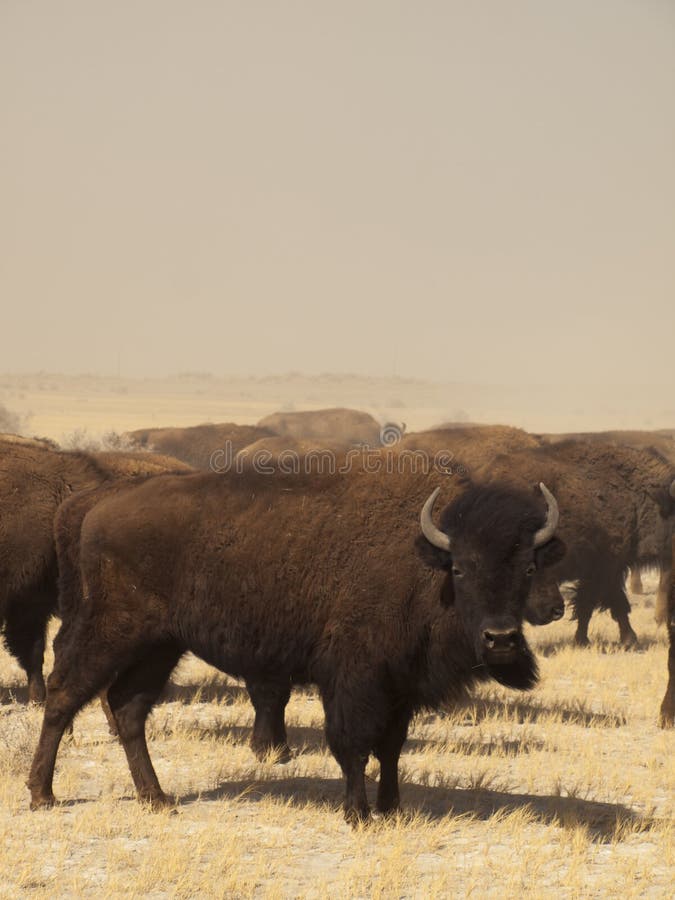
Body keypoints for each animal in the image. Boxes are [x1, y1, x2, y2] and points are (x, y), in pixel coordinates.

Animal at [29, 467, 563, 821]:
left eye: (528, 567)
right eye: (461, 568)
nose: (500, 639)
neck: (423, 560)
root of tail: (97, 506)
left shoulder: (400, 688)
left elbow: (391, 748)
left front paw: (392, 809)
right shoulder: (354, 682)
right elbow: (354, 746)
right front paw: (357, 814)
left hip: (159, 646)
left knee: (128, 707)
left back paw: (156, 798)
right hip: (112, 632)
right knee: (64, 693)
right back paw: (42, 794)